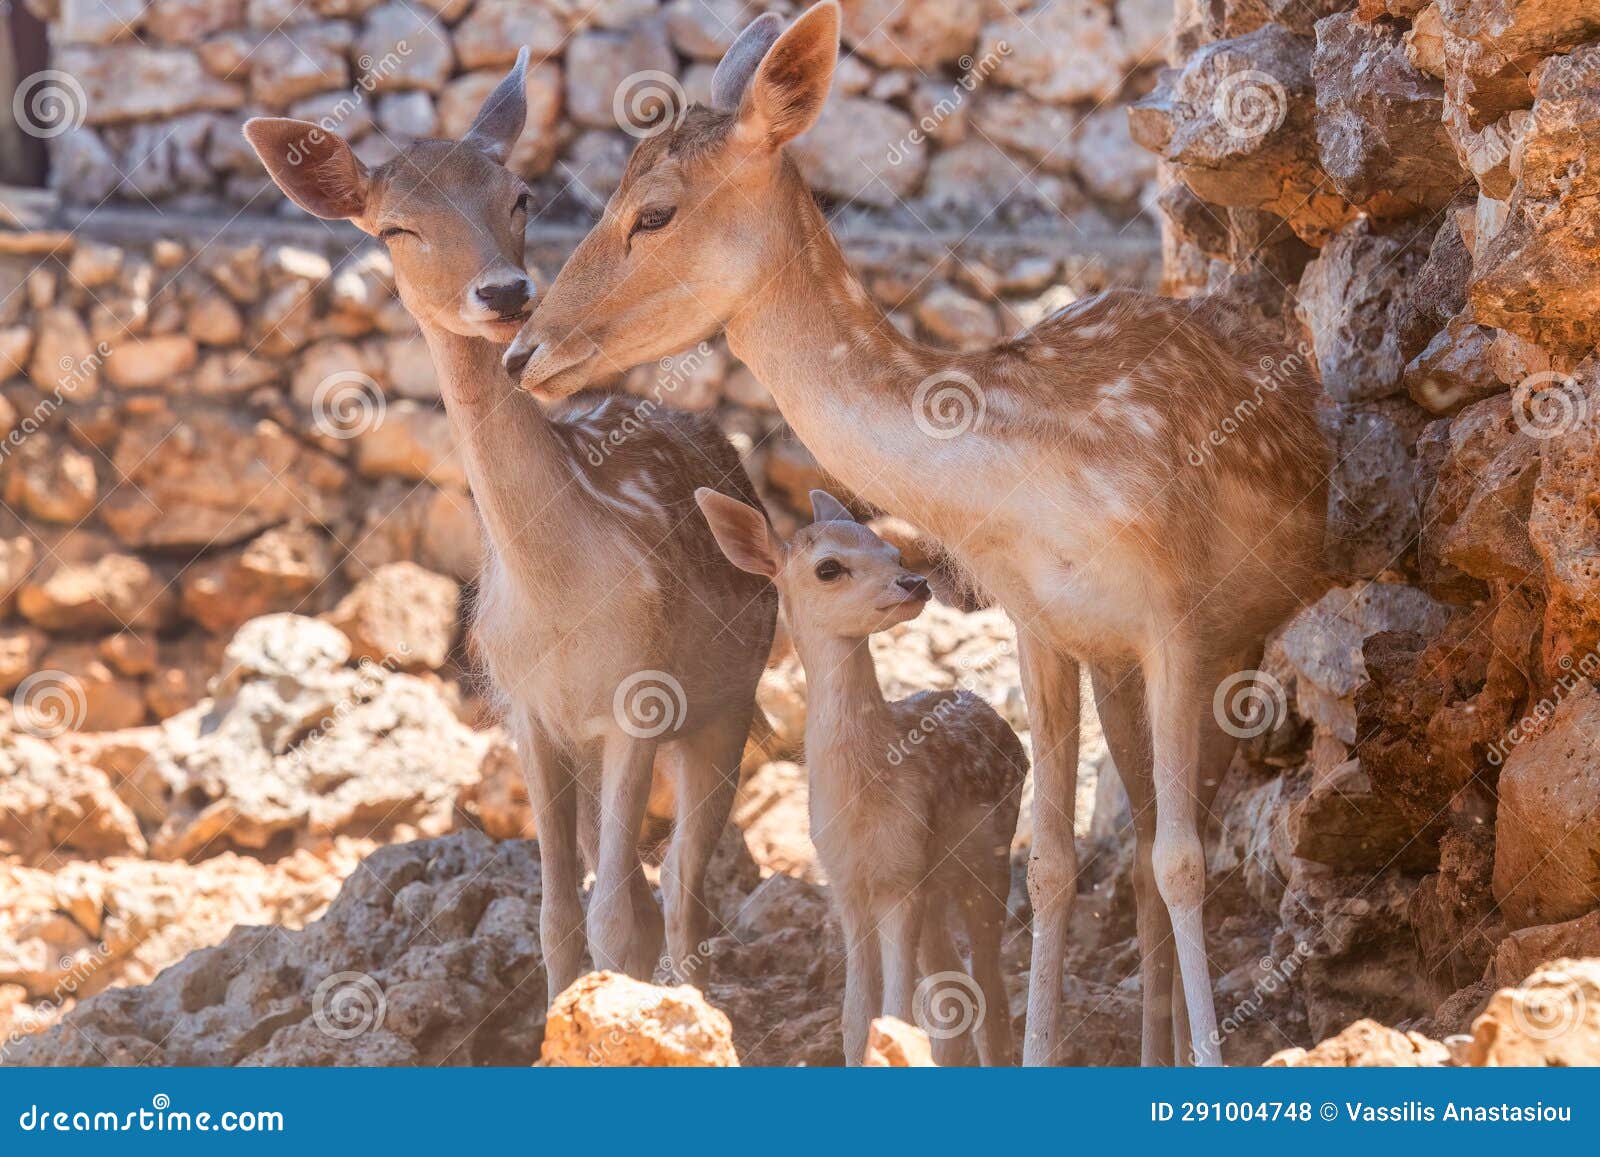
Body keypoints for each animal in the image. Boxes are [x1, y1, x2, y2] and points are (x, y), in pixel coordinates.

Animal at [242, 51, 779, 1006]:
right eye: (394, 228)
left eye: (521, 195)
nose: (504, 291)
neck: (559, 596)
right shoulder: (525, 710)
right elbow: (559, 916)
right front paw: (562, 1017)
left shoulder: (642, 695)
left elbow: (616, 916)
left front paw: (630, 1020)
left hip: (731, 696)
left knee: (685, 879)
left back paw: (697, 996)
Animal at [697, 486, 1025, 1066]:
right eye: (828, 567)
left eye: (893, 553)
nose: (915, 583)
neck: (865, 789)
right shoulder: (847, 880)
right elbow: (857, 1019)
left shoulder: (901, 876)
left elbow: (893, 1012)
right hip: (935, 881)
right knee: (951, 994)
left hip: (988, 860)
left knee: (986, 990)